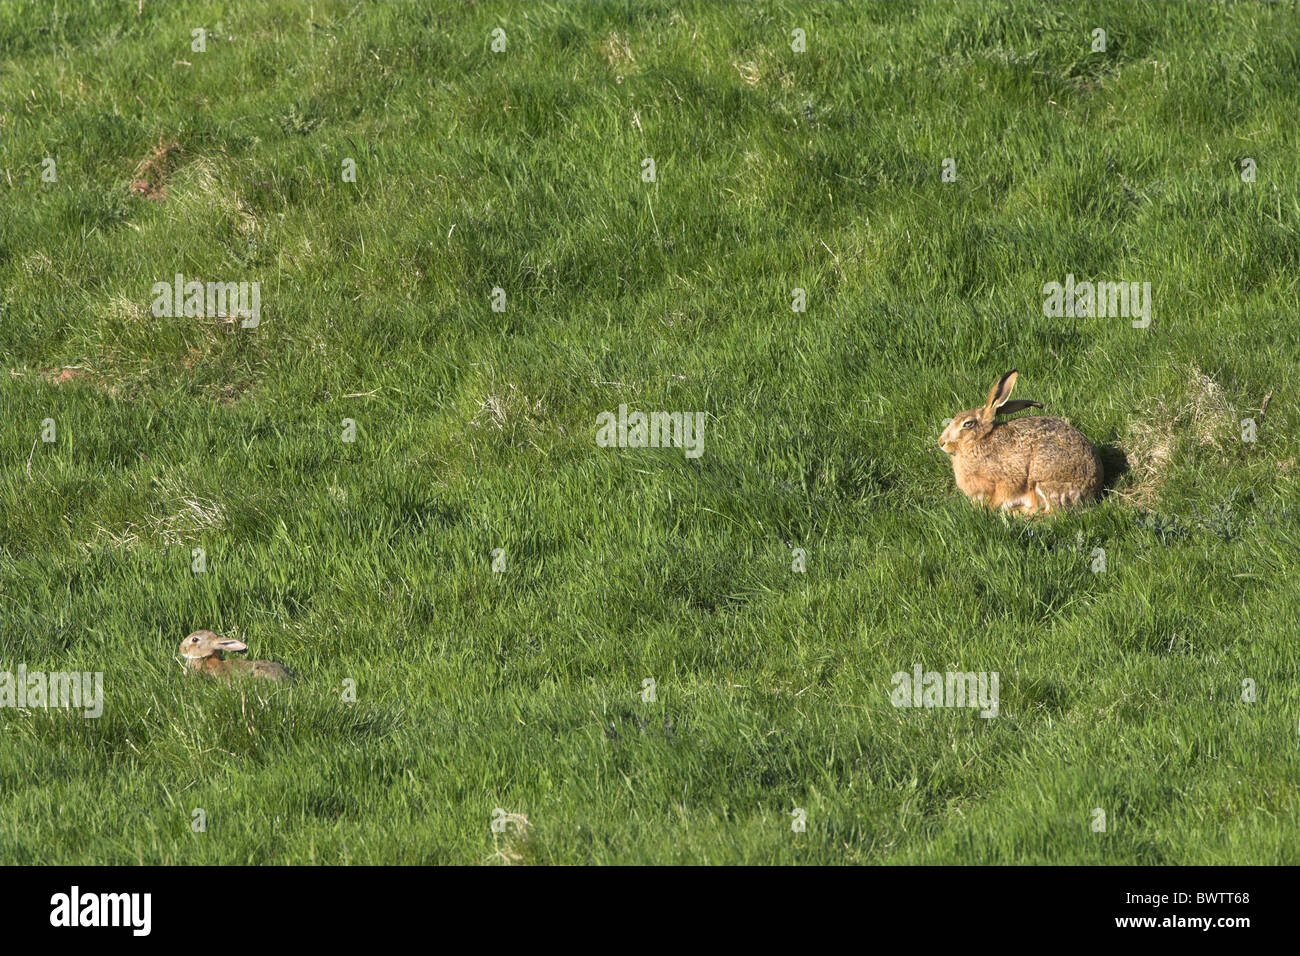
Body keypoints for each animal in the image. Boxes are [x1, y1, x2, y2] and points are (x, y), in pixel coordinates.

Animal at [938, 370, 1103, 515]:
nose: (941, 442)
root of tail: (1092, 486)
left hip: (1044, 482)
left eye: (968, 424)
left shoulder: (1004, 480)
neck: (979, 442)